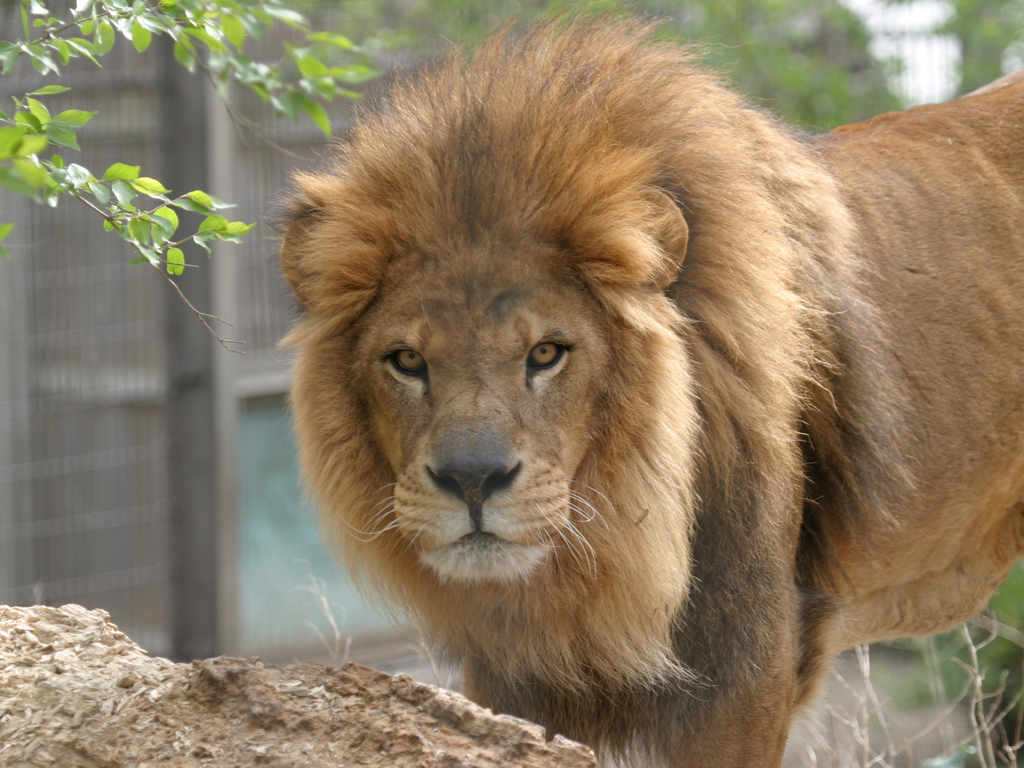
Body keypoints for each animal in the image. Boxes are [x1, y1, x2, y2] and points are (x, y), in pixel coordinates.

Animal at [276, 20, 1024, 767]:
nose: (472, 481)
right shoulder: (511, 672)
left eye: (546, 353)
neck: (602, 557)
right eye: (406, 361)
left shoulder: (744, 663)